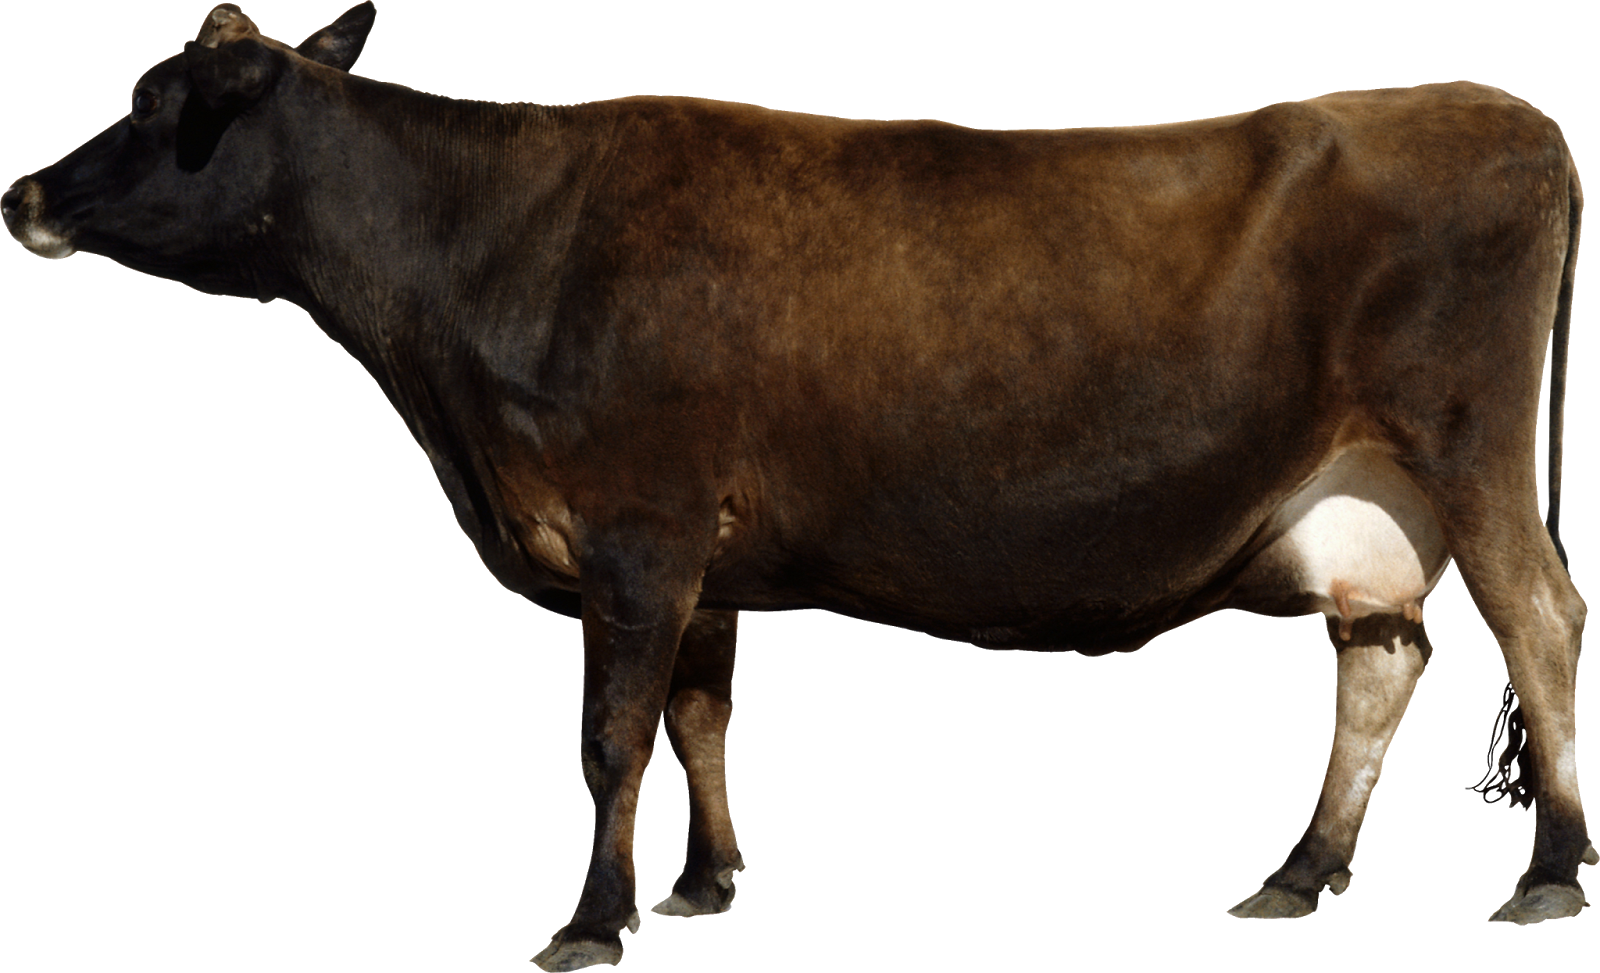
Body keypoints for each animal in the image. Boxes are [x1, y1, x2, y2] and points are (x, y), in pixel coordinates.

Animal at [5, 3, 1591, 967]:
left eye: (148, 99)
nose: (19, 194)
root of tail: (1503, 111)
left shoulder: (634, 527)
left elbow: (610, 736)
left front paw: (592, 919)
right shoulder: (701, 557)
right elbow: (701, 719)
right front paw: (703, 884)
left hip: (1467, 446)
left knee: (1540, 620)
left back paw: (1550, 870)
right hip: (1364, 504)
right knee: (1382, 656)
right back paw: (1298, 870)